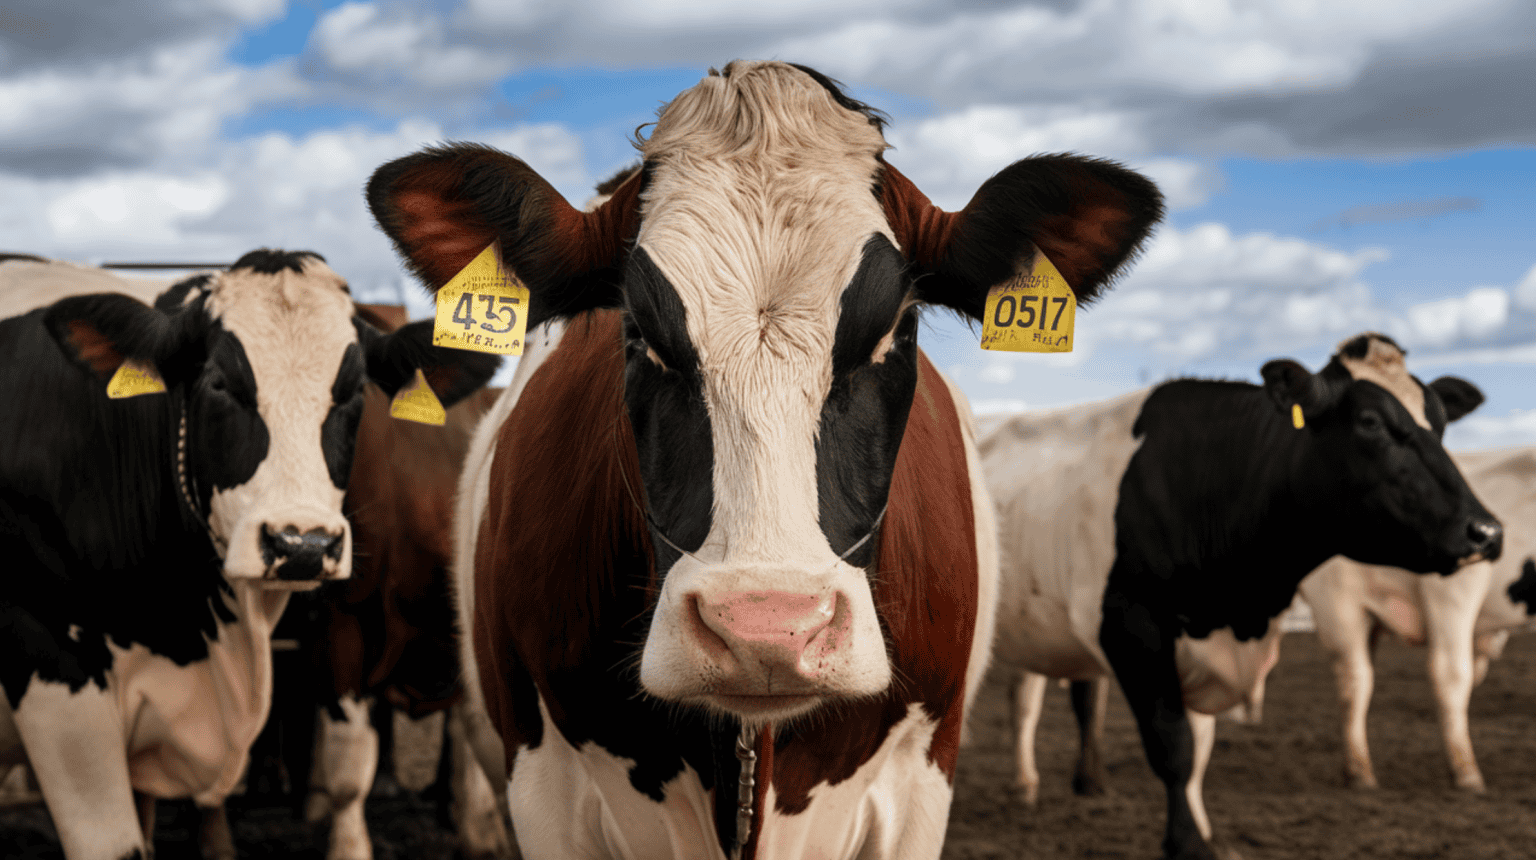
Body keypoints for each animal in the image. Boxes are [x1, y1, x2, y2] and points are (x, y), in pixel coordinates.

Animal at [980, 332, 1502, 860]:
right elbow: (1174, 746)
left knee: (1068, 697)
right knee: (1024, 702)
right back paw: (1024, 784)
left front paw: (1205, 831)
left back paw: (1075, 784)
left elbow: (1200, 747)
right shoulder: (1132, 625)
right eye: (1370, 422)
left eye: (1441, 424)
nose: (1486, 531)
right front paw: (1188, 844)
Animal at [1297, 445, 1536, 792]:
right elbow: (1449, 674)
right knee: (1358, 682)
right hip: (1339, 606)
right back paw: (1364, 773)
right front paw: (1466, 777)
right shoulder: (1451, 587)